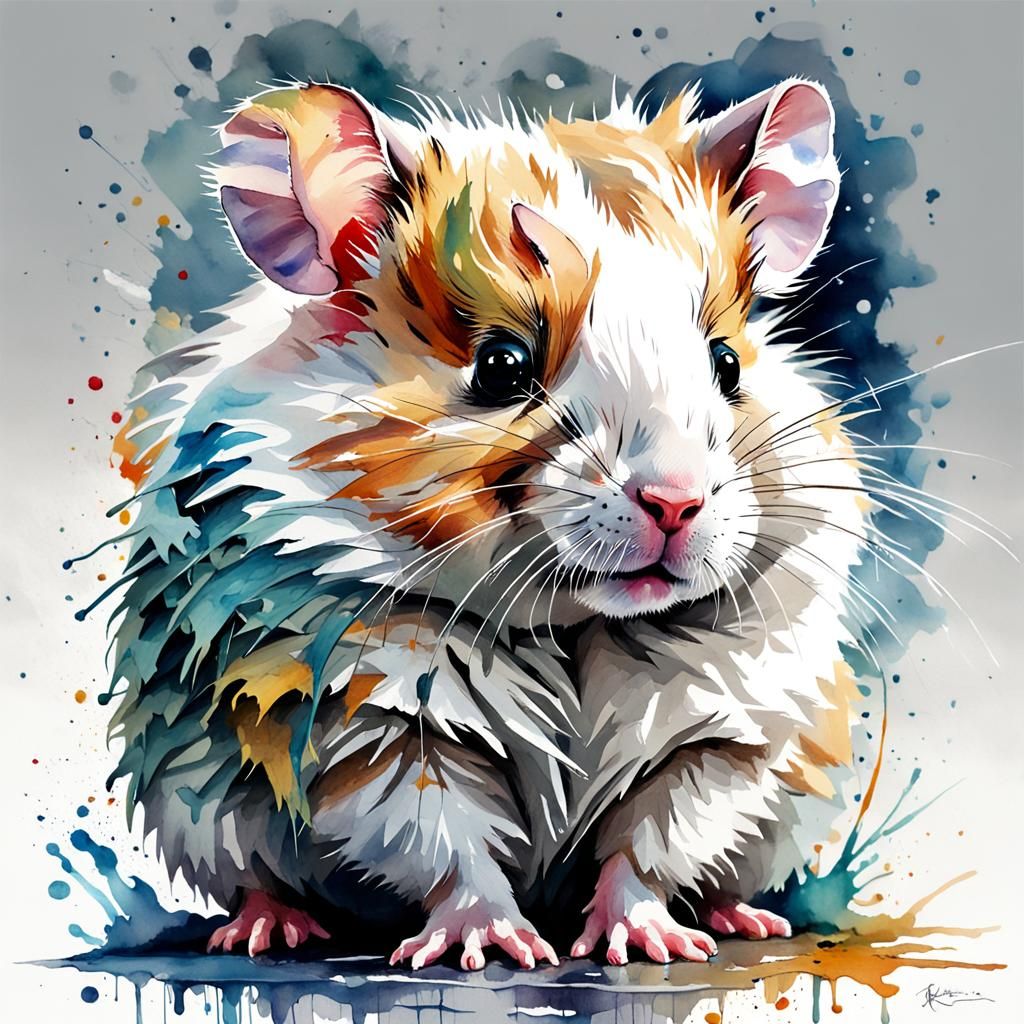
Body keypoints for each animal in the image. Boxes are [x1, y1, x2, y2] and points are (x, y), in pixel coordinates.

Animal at [102, 77, 865, 968]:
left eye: (727, 363)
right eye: (503, 366)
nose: (676, 502)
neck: (572, 624)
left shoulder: (726, 739)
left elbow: (652, 843)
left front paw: (647, 944)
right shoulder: (373, 723)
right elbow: (445, 840)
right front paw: (497, 947)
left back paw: (741, 918)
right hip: (201, 806)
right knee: (257, 874)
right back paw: (267, 929)